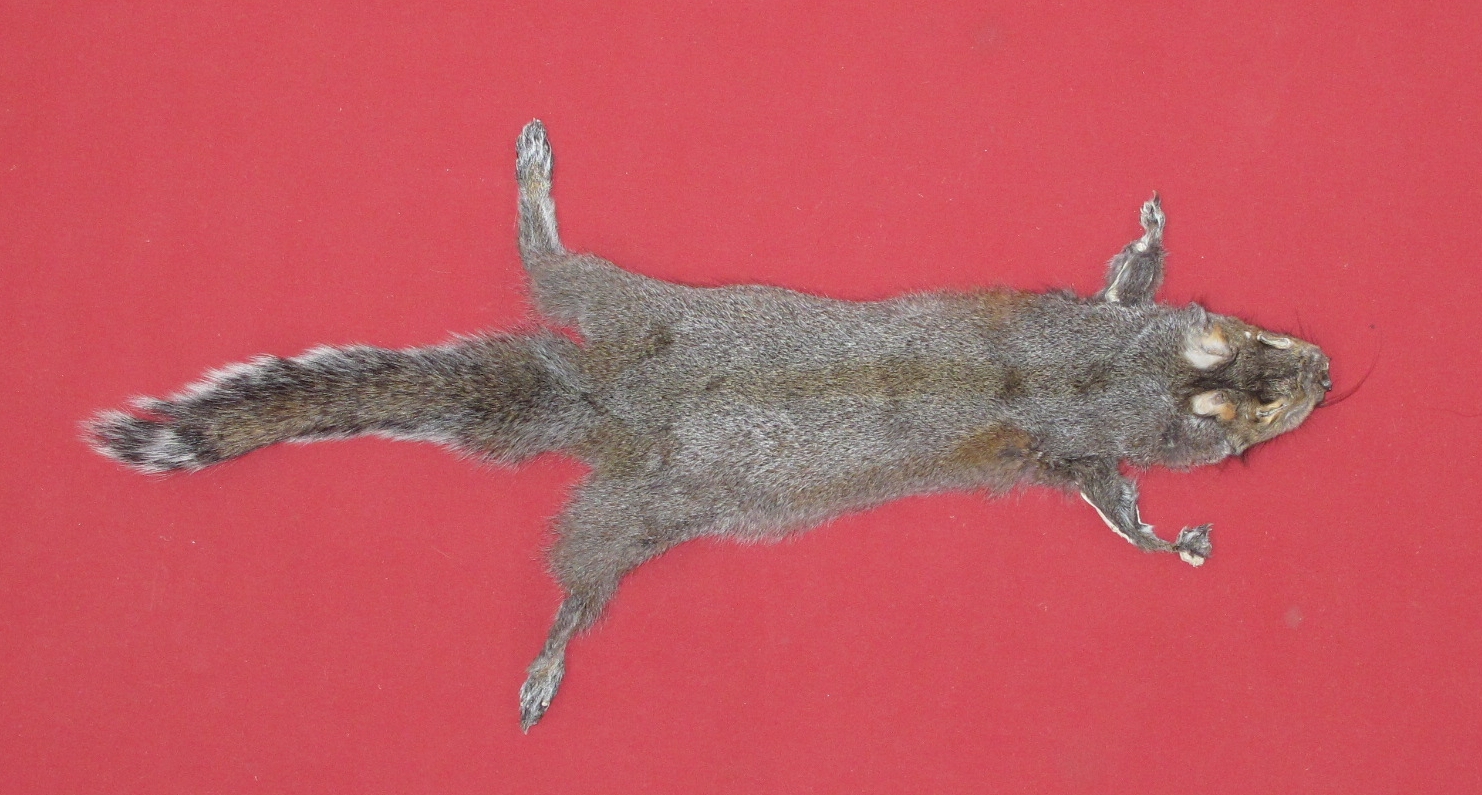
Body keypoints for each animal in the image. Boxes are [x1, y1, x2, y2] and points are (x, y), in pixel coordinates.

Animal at [87, 120, 1332, 731]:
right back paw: (550, 654)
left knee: (562, 282)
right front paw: (1177, 538)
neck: (1104, 371)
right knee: (580, 546)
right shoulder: (1079, 431)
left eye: (1261, 336)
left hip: (630, 312)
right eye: (1255, 421)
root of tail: (603, 405)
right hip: (638, 471)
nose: (1325, 367)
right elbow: (1118, 504)